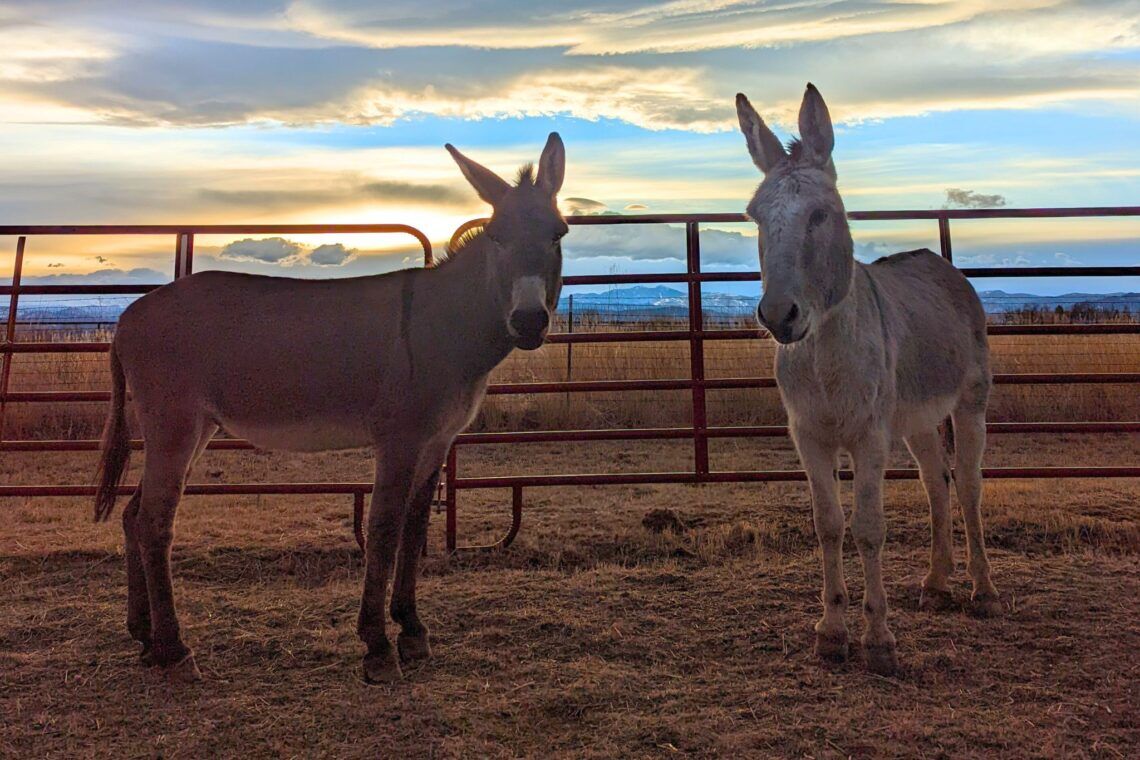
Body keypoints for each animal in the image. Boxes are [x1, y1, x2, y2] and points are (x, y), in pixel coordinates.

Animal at [94, 134, 567, 684]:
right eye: (496, 238)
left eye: (557, 235)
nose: (529, 321)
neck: (444, 323)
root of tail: (129, 315)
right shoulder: (399, 440)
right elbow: (384, 530)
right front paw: (378, 647)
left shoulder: (437, 442)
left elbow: (416, 527)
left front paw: (412, 631)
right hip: (174, 424)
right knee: (154, 521)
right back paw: (174, 650)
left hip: (195, 428)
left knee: (133, 514)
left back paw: (144, 638)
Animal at [735, 85, 1000, 675]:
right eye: (754, 216)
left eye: (821, 214)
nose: (778, 315)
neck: (824, 355)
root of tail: (937, 262)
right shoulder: (809, 437)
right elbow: (829, 524)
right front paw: (832, 632)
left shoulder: (869, 437)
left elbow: (869, 527)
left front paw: (878, 638)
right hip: (918, 420)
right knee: (936, 483)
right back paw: (936, 585)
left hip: (970, 403)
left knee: (969, 485)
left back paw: (983, 591)